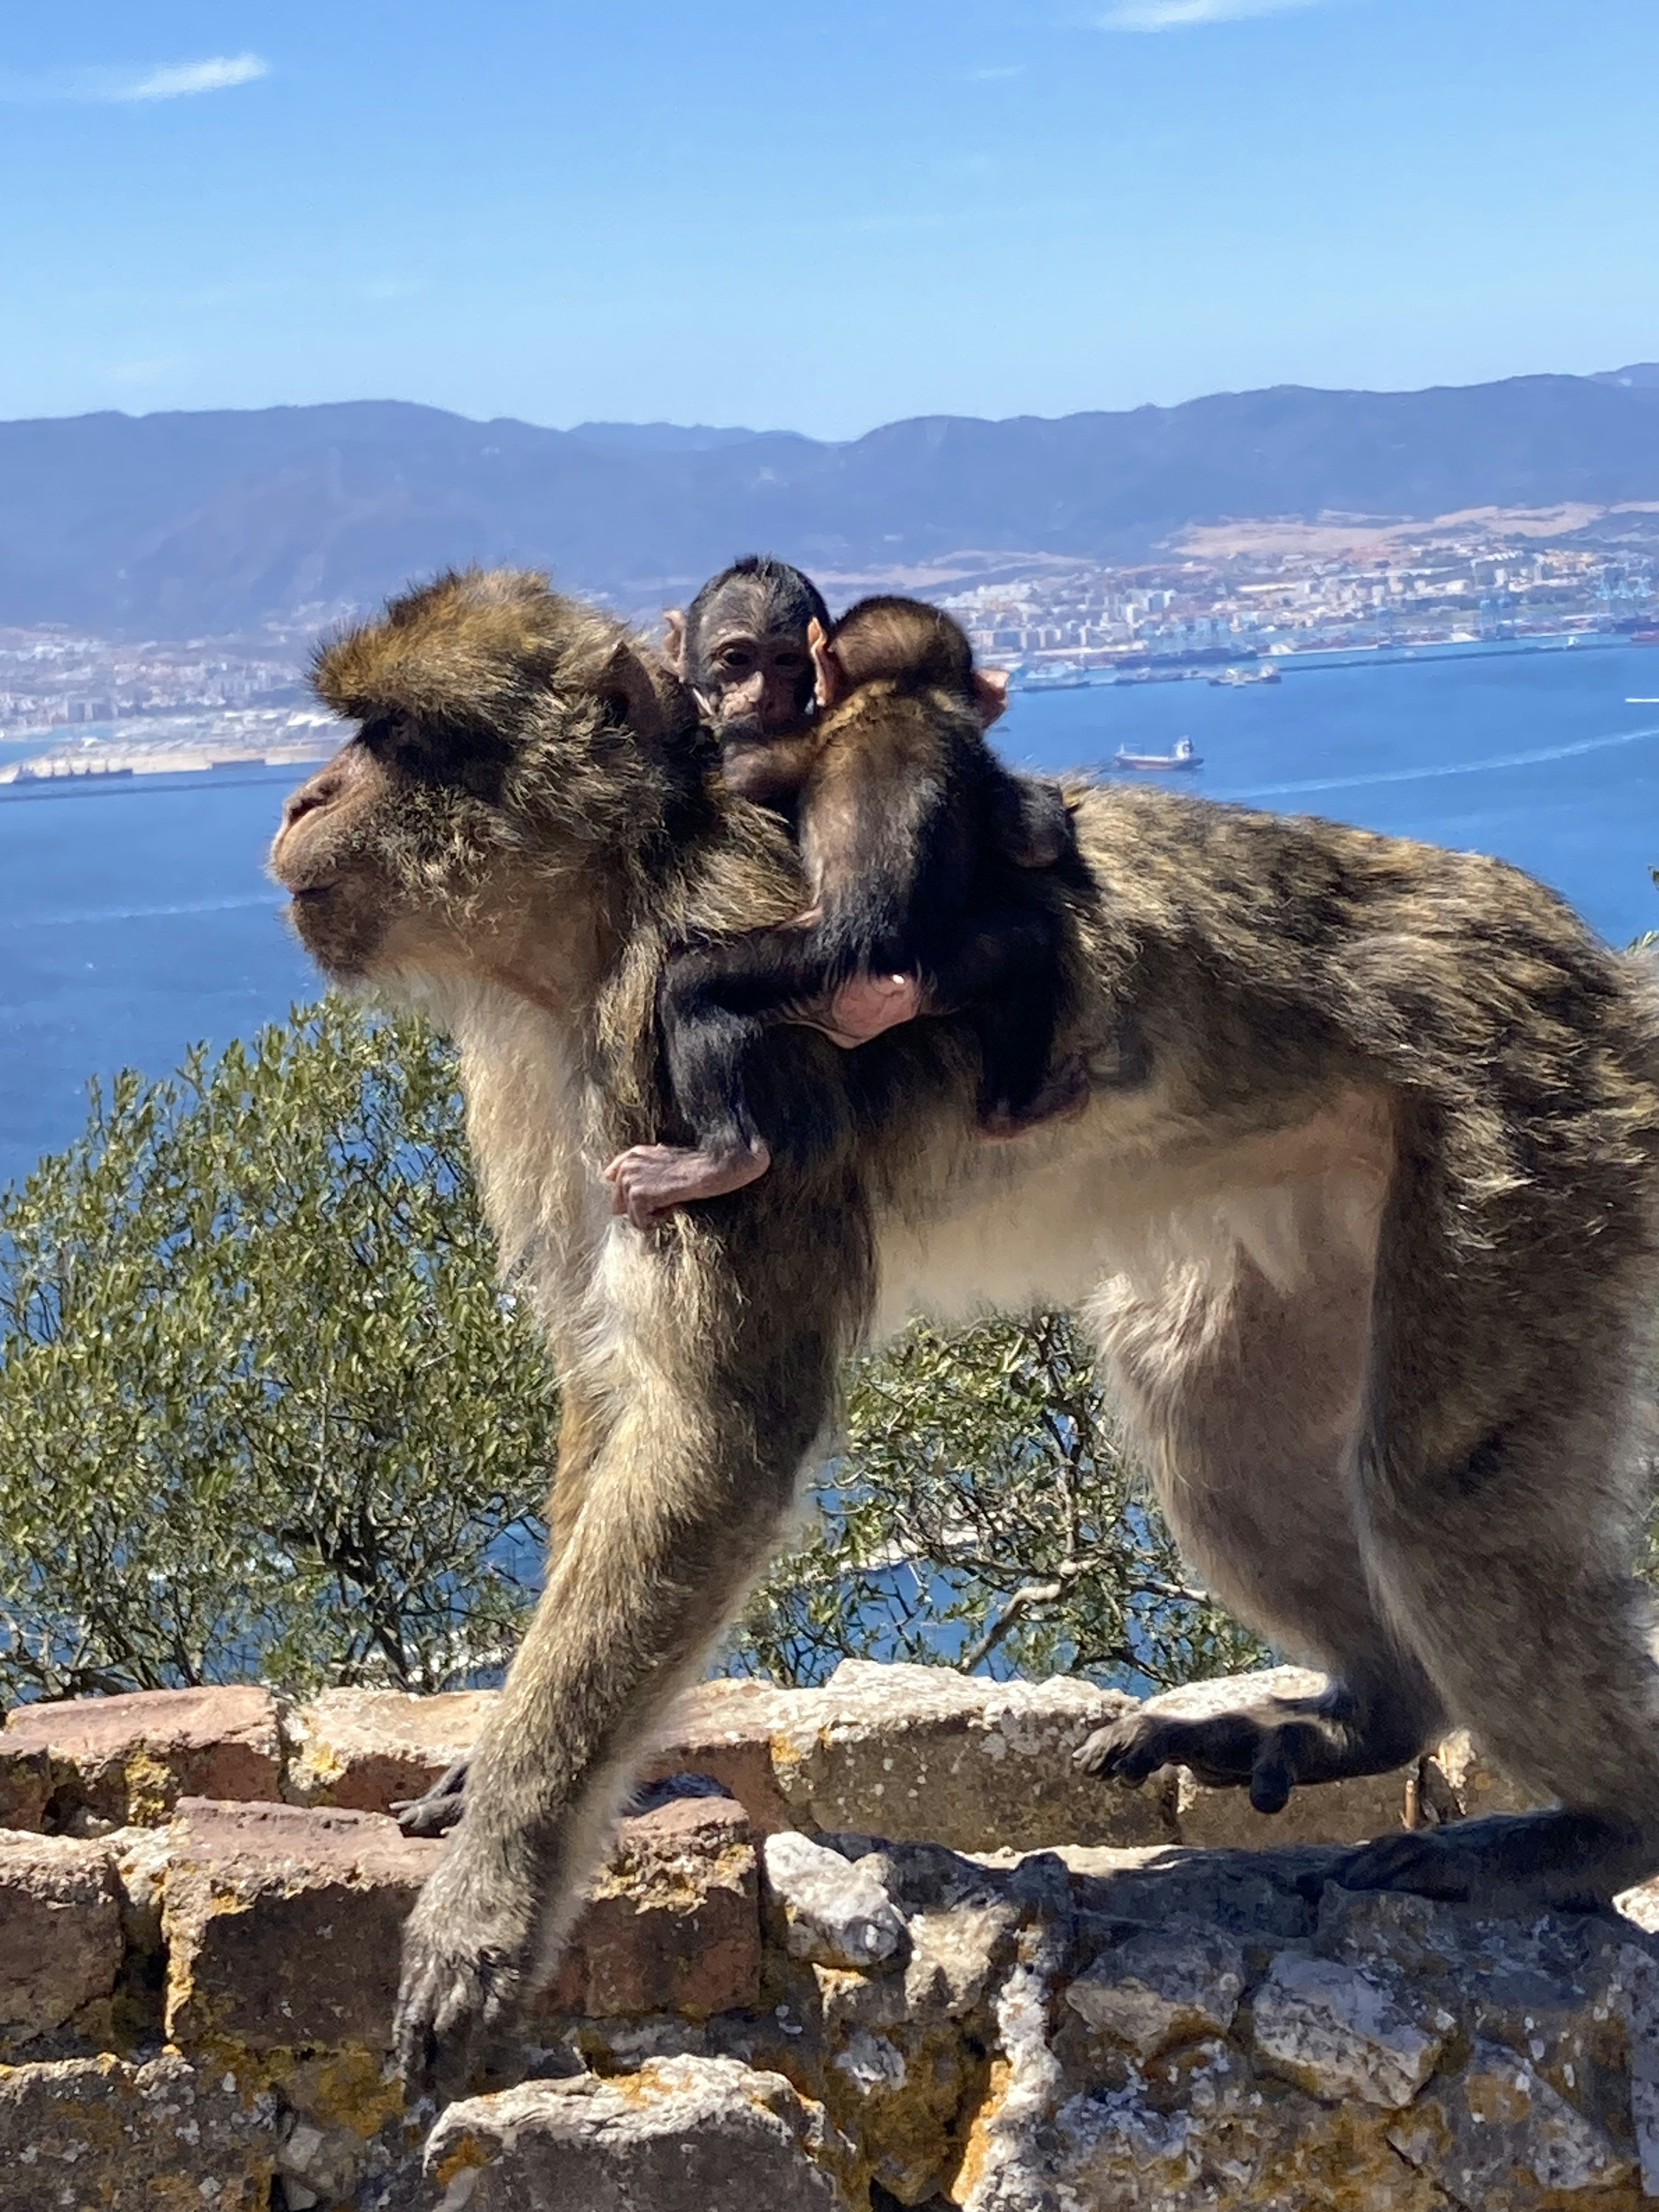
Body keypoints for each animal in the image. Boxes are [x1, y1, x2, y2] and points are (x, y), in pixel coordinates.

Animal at [603, 593, 1084, 1227]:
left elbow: (745, 772)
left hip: (813, 968)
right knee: (1029, 947)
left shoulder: (804, 738)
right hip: (944, 967)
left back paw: (726, 1159)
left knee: (694, 988)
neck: (902, 689)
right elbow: (1033, 838)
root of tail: (883, 979)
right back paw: (1013, 1109)